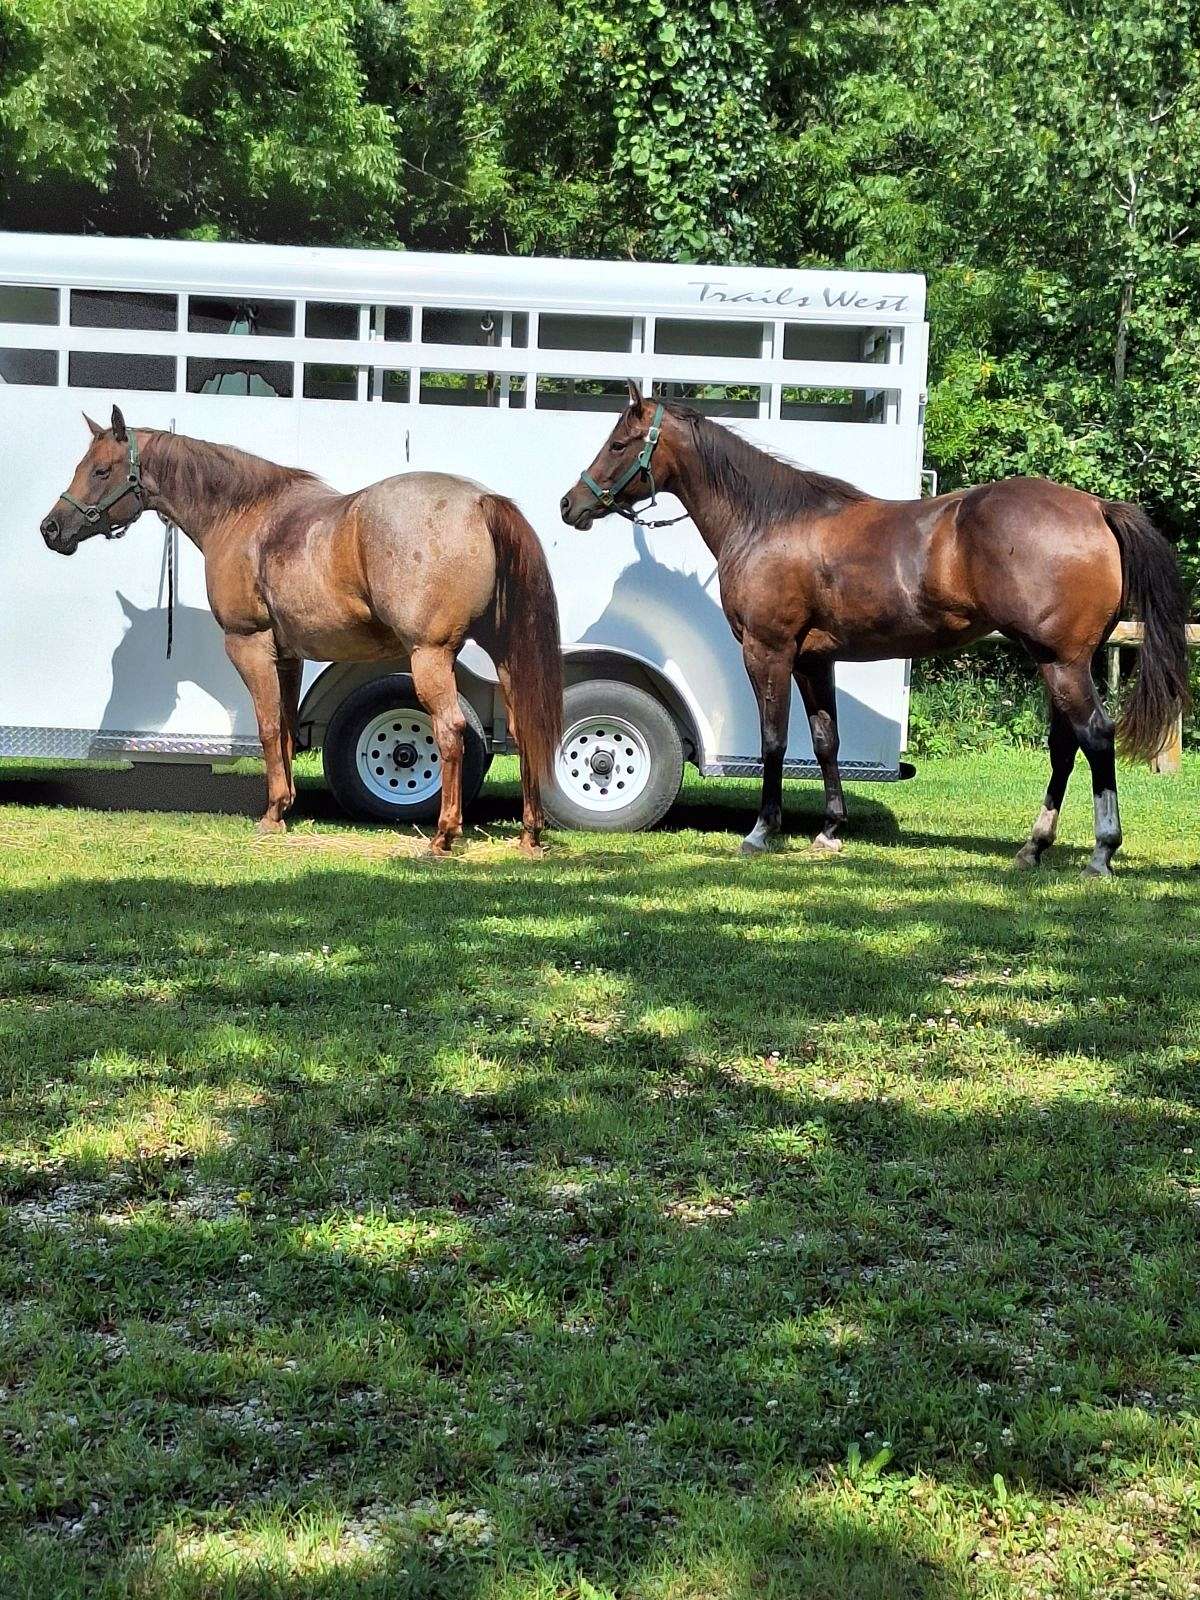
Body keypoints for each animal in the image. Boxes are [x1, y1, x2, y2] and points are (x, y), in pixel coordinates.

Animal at [43, 406, 563, 857]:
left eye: (102, 471)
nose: (51, 529)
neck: (242, 514)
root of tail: (480, 502)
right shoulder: (289, 655)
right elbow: (289, 728)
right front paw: (287, 805)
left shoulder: (249, 644)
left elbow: (269, 726)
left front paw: (272, 813)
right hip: (505, 658)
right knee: (524, 730)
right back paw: (530, 833)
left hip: (430, 656)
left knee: (451, 730)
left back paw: (443, 835)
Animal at [560, 383, 1189, 873]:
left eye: (618, 443)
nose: (571, 505)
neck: (769, 521)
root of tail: (1095, 507)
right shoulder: (814, 659)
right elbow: (825, 741)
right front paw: (830, 830)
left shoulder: (769, 651)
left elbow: (773, 741)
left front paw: (762, 832)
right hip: (1055, 662)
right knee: (1064, 747)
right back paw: (1033, 847)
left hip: (1062, 663)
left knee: (1096, 737)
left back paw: (1102, 851)